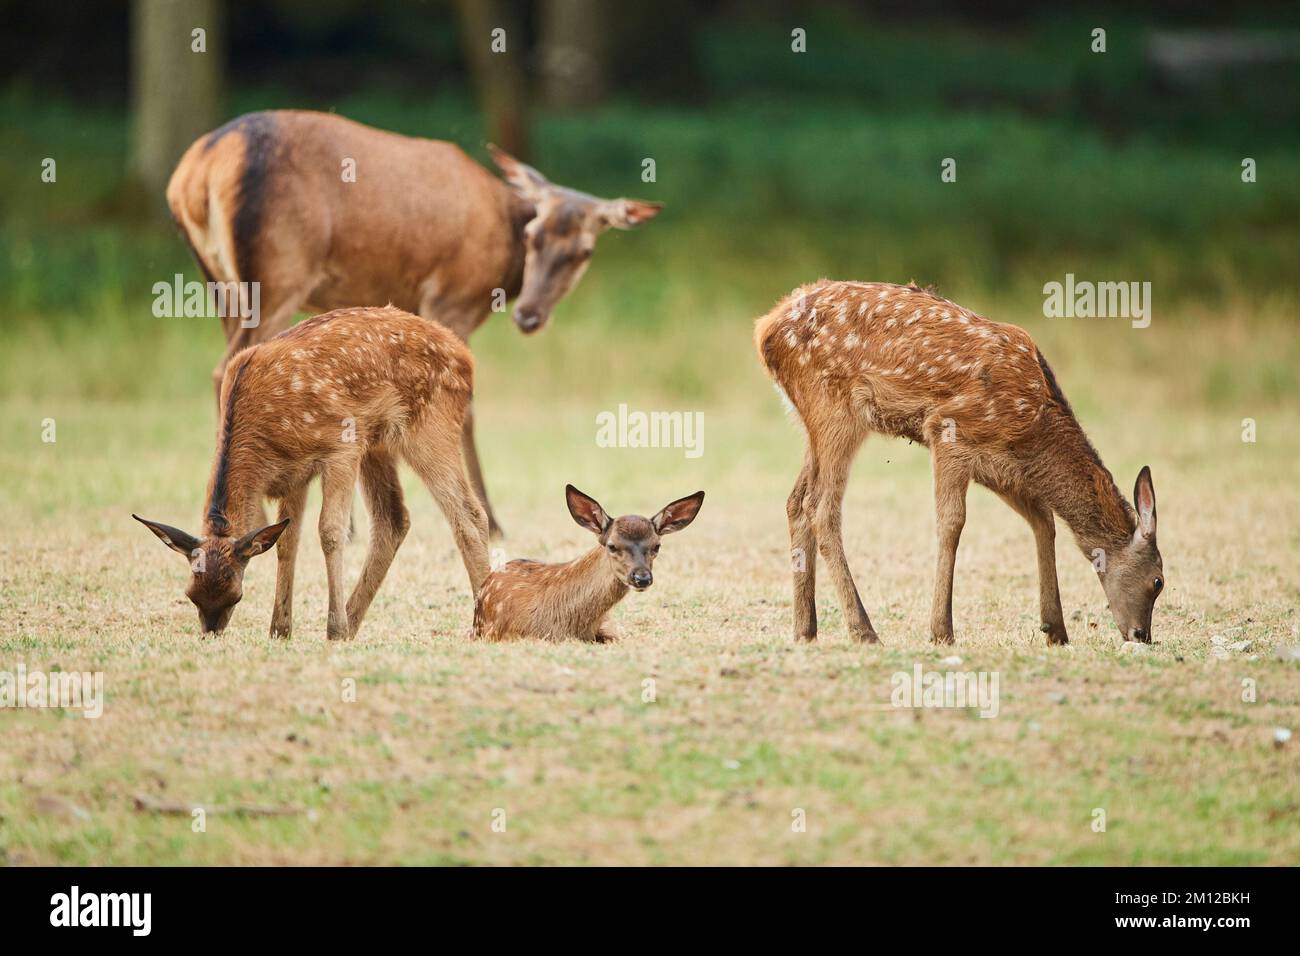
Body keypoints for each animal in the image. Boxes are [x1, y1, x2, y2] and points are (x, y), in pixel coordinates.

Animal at [133, 305, 491, 640]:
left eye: (236, 595)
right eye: (191, 595)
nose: (211, 633)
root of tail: (467, 358)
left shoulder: (341, 449)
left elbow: (330, 532)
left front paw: (333, 629)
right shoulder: (295, 473)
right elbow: (287, 542)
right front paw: (280, 630)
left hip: (431, 426)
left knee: (470, 514)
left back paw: (481, 621)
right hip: (377, 444)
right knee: (393, 520)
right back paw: (353, 622)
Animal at [166, 109, 661, 539]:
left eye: (583, 252)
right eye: (532, 236)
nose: (529, 315)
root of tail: (199, 169)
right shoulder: (450, 299)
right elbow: (467, 409)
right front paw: (494, 522)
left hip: (220, 283)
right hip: (277, 272)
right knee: (226, 367)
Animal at [754, 280, 1164, 647]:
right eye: (1158, 581)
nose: (1141, 635)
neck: (1034, 428)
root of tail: (765, 329)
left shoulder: (1000, 464)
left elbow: (1043, 521)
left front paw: (1055, 628)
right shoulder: (950, 430)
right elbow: (952, 523)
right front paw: (942, 631)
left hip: (811, 422)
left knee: (796, 502)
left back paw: (805, 629)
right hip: (835, 410)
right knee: (821, 508)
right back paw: (864, 630)